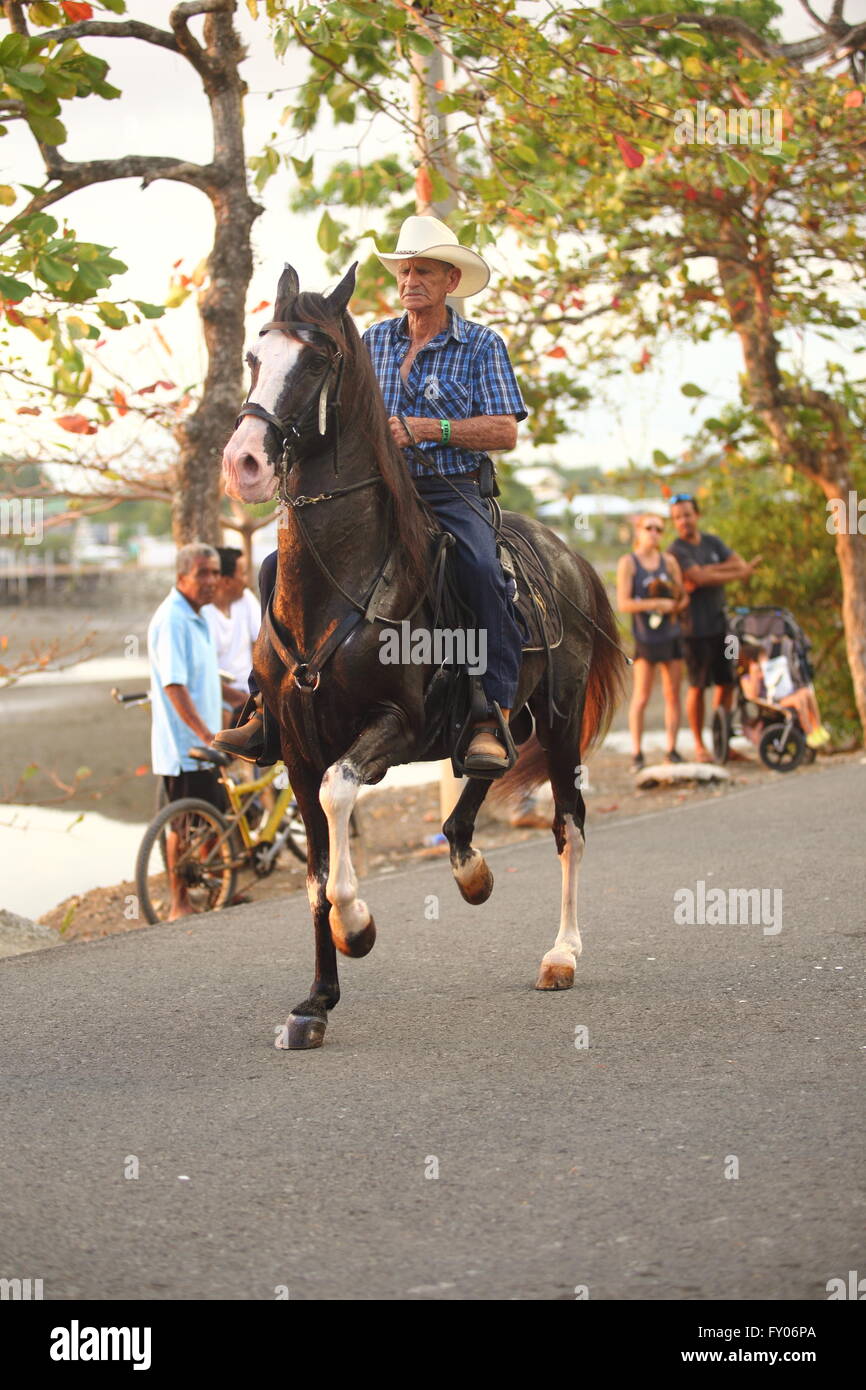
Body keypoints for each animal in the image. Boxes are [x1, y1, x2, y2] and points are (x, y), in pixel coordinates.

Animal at [222, 262, 627, 1050]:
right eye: (257, 356)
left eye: (315, 360)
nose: (244, 462)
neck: (339, 584)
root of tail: (569, 555)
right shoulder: (297, 749)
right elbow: (314, 872)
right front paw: (315, 1003)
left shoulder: (394, 727)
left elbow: (340, 801)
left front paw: (358, 926)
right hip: (504, 718)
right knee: (485, 763)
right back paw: (472, 869)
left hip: (561, 720)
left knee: (568, 823)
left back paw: (561, 954)